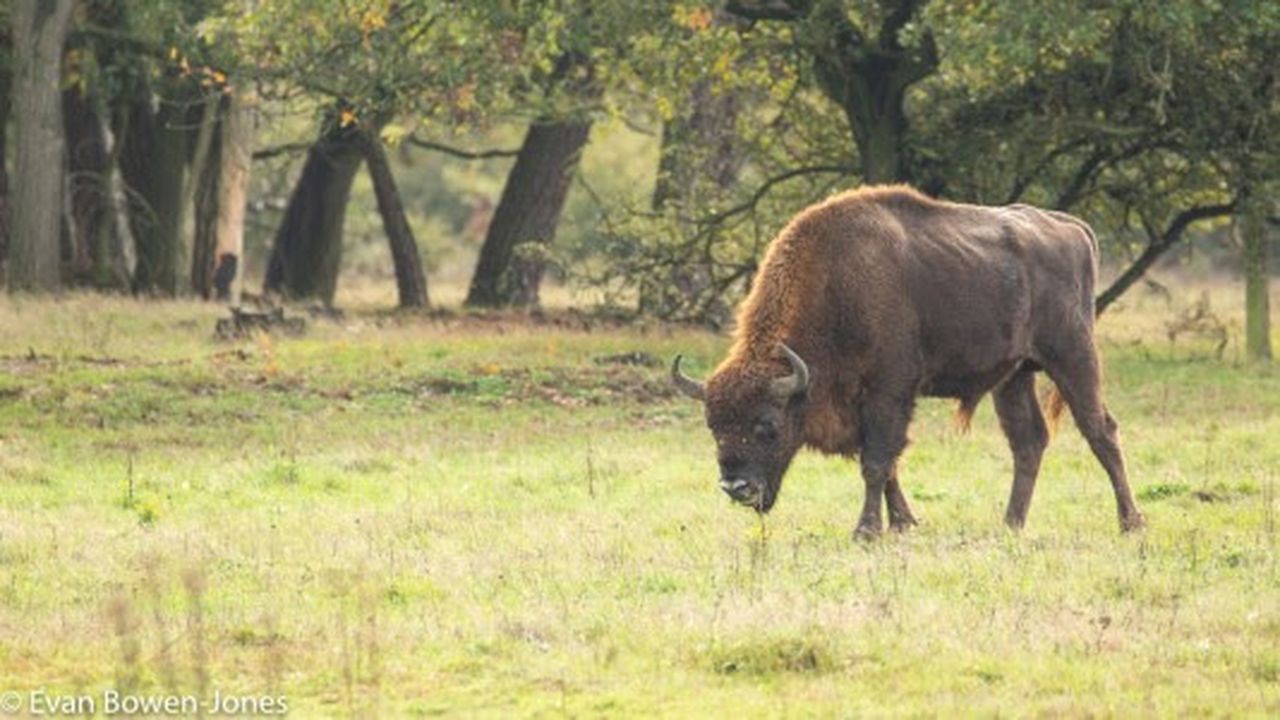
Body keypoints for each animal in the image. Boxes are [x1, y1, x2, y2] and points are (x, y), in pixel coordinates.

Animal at [672, 185, 1145, 537]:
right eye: (713, 426)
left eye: (767, 425)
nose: (736, 487)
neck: (836, 286)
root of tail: (1070, 226)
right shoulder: (868, 406)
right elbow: (888, 465)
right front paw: (903, 523)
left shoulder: (889, 392)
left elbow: (877, 462)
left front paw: (867, 531)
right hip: (1013, 376)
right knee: (1028, 441)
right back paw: (1010, 524)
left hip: (1073, 356)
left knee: (1101, 430)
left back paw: (1130, 523)